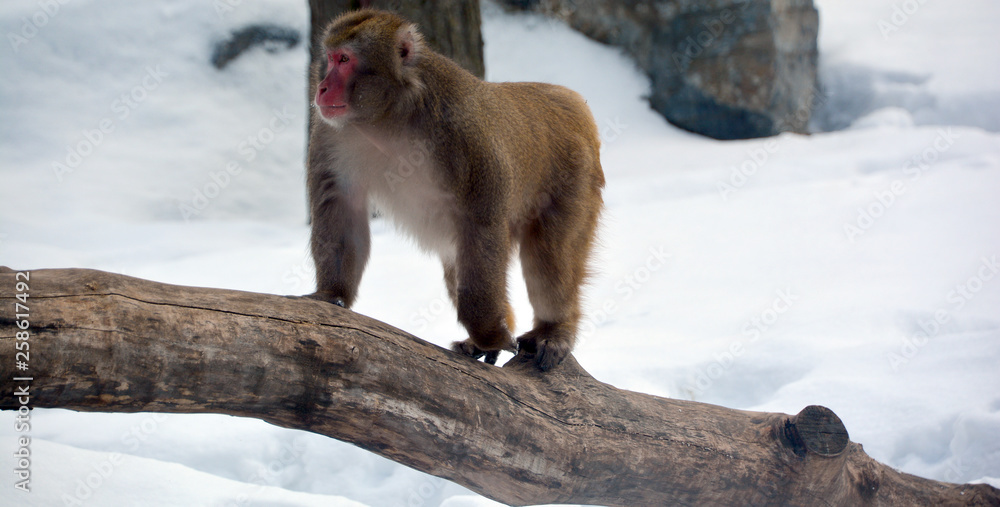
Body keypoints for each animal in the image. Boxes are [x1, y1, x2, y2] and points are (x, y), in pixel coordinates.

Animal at [306, 9, 604, 371]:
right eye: (330, 57)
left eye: (345, 59)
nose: (322, 87)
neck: (388, 116)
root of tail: (569, 98)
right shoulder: (330, 134)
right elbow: (340, 208)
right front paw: (330, 296)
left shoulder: (464, 135)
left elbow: (481, 224)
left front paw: (490, 333)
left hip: (576, 178)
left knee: (551, 256)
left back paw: (554, 329)